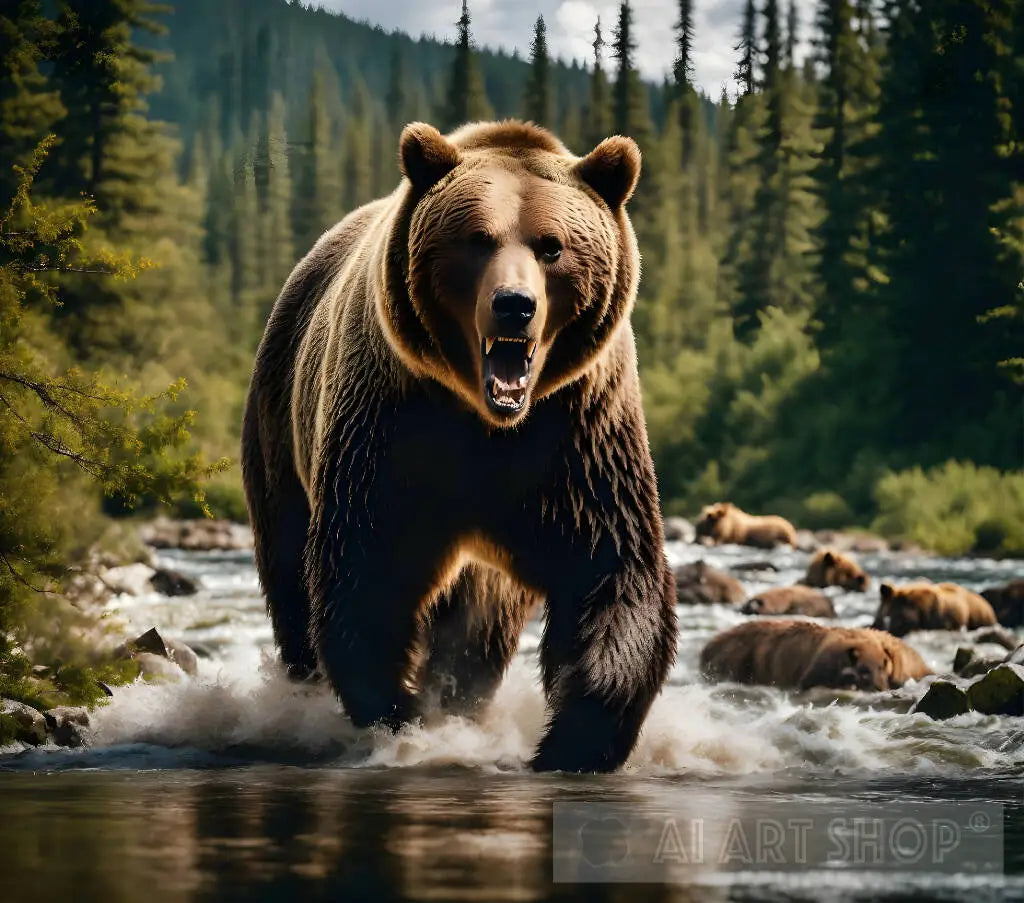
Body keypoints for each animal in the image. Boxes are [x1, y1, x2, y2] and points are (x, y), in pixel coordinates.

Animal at [241, 120, 677, 774]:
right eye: (478, 239)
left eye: (551, 246)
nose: (514, 305)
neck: (486, 420)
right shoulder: (396, 423)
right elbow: (366, 568)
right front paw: (399, 711)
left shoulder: (579, 435)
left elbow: (612, 571)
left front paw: (571, 740)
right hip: (280, 421)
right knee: (289, 567)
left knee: (477, 632)